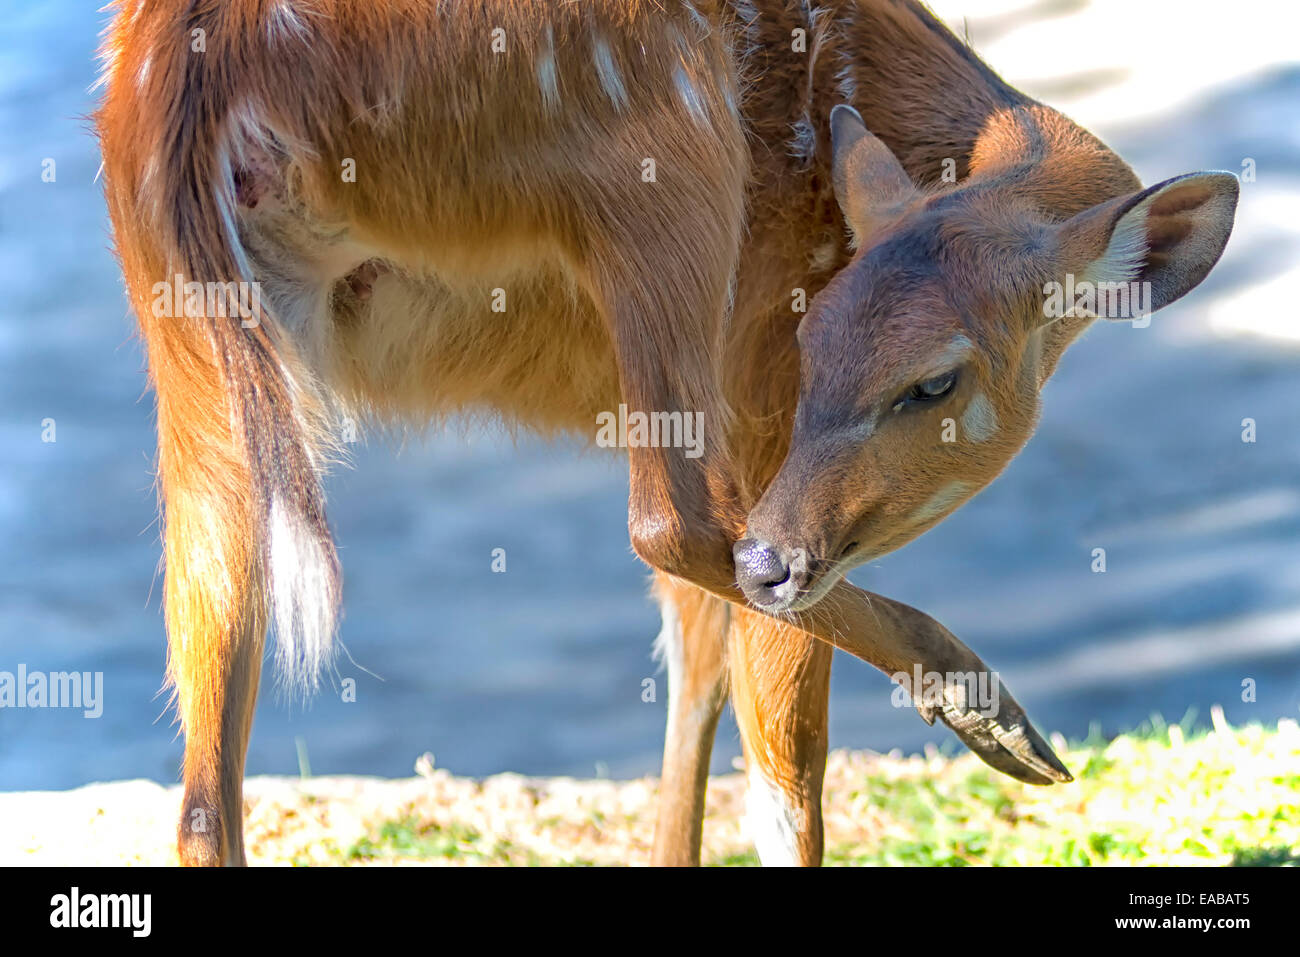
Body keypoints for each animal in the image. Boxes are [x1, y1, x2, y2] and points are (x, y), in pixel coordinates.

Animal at [94, 0, 1238, 866]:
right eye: (816, 337)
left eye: (933, 381)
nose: (779, 561)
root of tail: (197, 65)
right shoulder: (759, 376)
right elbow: (784, 745)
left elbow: (696, 662)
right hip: (664, 158)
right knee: (671, 526)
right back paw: (996, 715)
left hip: (185, 328)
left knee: (205, 723)